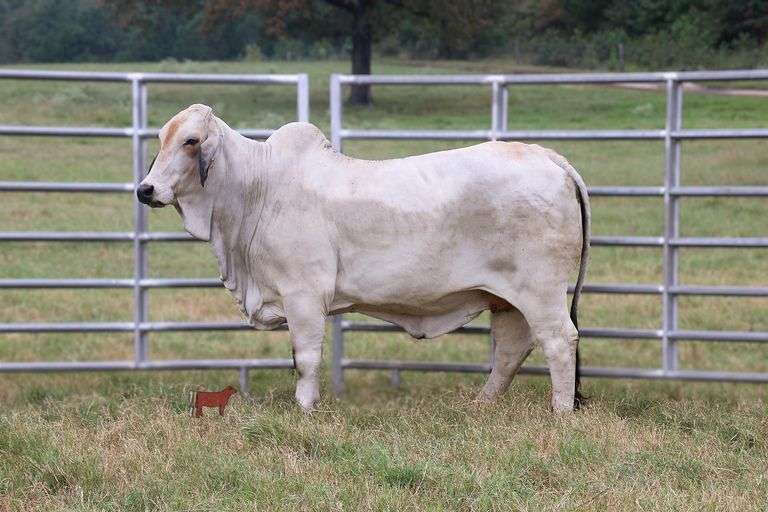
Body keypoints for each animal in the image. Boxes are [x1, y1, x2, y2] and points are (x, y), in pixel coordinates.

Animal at [137, 104, 590, 413]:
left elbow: (305, 359)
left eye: (191, 141)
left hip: (541, 290)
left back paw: (560, 413)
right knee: (512, 349)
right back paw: (481, 406)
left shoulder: (304, 295)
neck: (256, 187)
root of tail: (549, 158)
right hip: (507, 299)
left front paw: (304, 410)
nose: (146, 189)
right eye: (161, 139)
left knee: (559, 341)